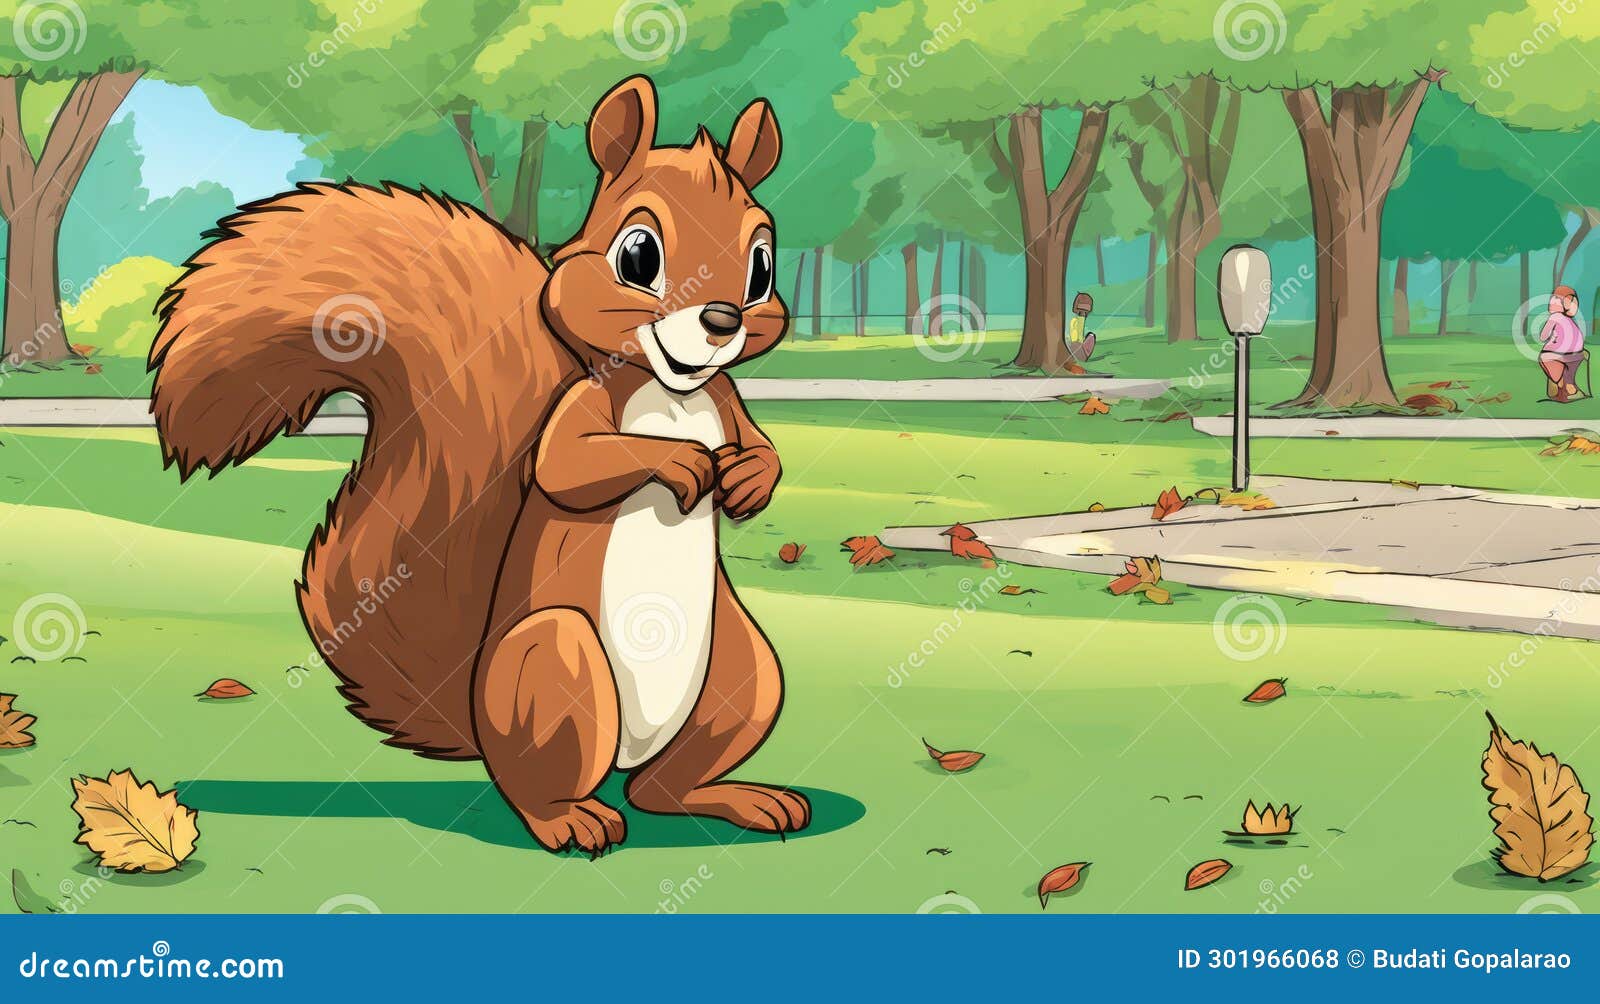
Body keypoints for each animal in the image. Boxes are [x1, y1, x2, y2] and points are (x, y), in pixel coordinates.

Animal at [148, 76, 807, 855]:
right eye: (638, 256)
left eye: (763, 266)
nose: (722, 320)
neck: (673, 390)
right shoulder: (581, 406)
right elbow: (566, 466)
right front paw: (682, 465)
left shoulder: (728, 400)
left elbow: (759, 446)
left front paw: (747, 480)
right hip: (553, 657)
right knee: (541, 786)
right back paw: (571, 820)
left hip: (747, 673)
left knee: (662, 790)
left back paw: (737, 799)